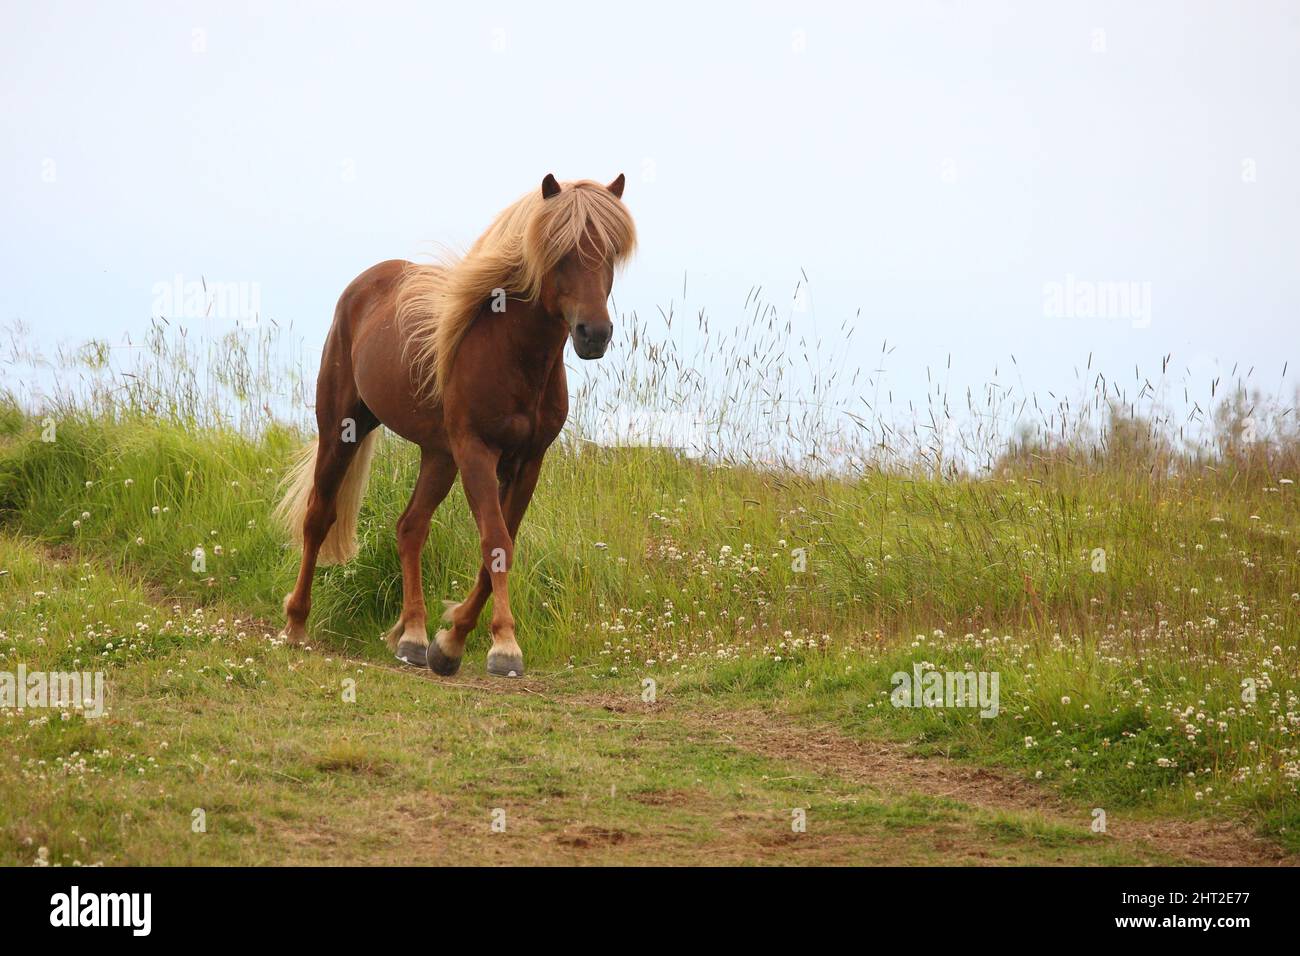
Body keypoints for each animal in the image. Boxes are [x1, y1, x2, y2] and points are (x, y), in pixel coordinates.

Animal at [273, 173, 636, 678]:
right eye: (558, 250)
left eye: (611, 252)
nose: (594, 334)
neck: (513, 353)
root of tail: (363, 286)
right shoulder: (476, 451)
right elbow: (495, 540)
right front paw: (503, 645)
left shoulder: (527, 463)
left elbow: (501, 546)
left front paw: (450, 642)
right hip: (342, 430)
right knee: (318, 517)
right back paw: (296, 624)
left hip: (438, 456)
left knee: (410, 527)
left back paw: (412, 635)